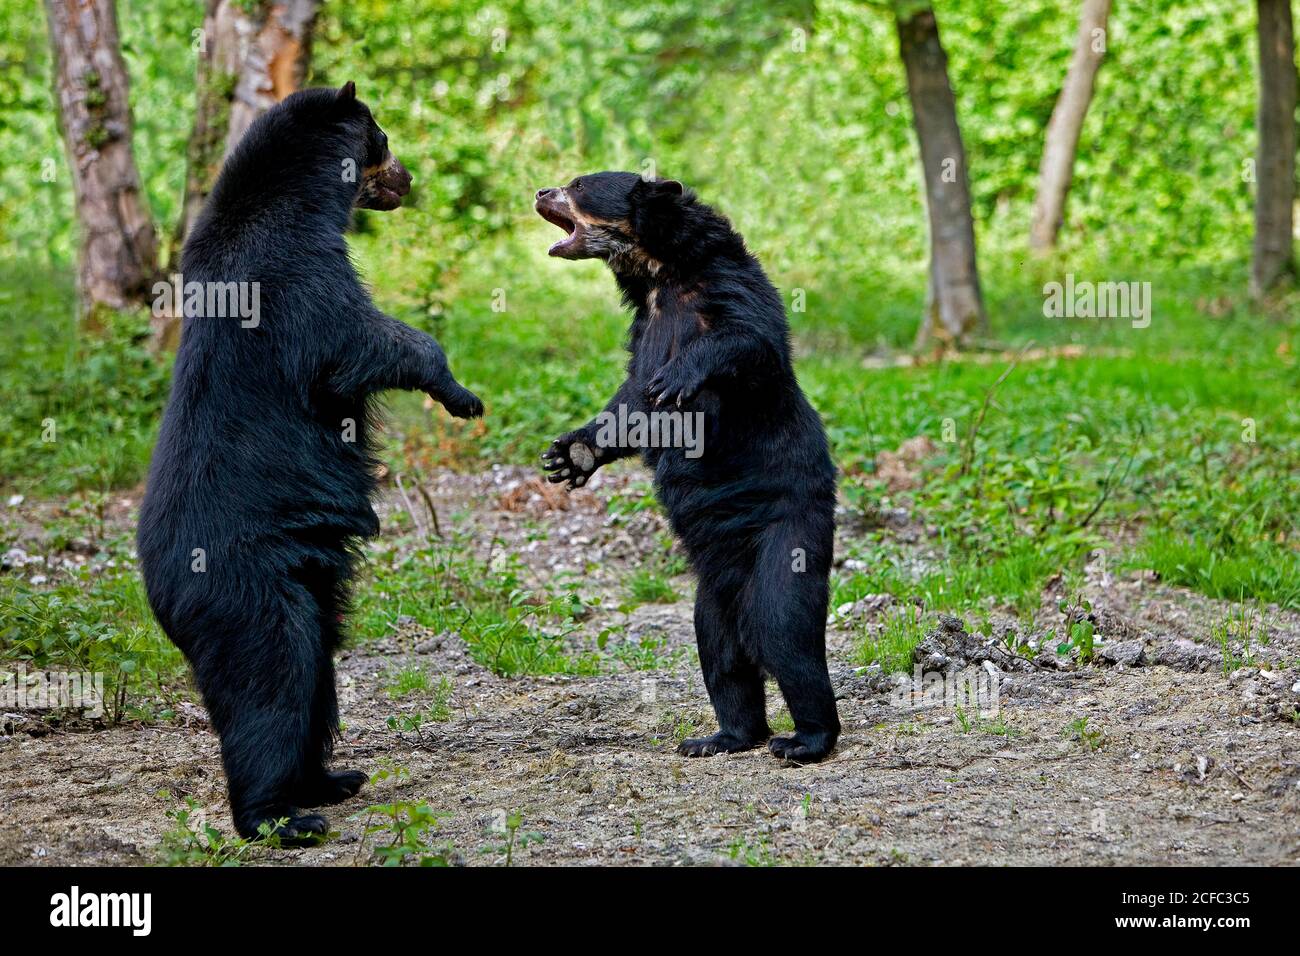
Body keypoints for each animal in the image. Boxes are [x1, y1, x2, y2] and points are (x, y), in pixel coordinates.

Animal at [137, 82, 482, 843]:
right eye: (384, 138)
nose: (408, 178)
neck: (296, 197)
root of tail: (158, 596)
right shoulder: (296, 277)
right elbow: (361, 338)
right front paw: (461, 392)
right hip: (250, 594)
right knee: (272, 683)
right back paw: (281, 816)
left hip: (304, 587)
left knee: (316, 681)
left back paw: (331, 777)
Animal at [535, 172, 840, 762]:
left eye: (578, 185)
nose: (540, 192)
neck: (661, 276)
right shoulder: (644, 326)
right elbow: (631, 401)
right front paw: (571, 455)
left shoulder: (726, 285)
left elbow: (750, 339)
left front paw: (680, 376)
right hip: (712, 591)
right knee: (720, 653)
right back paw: (721, 737)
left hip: (790, 529)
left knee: (784, 630)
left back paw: (804, 740)